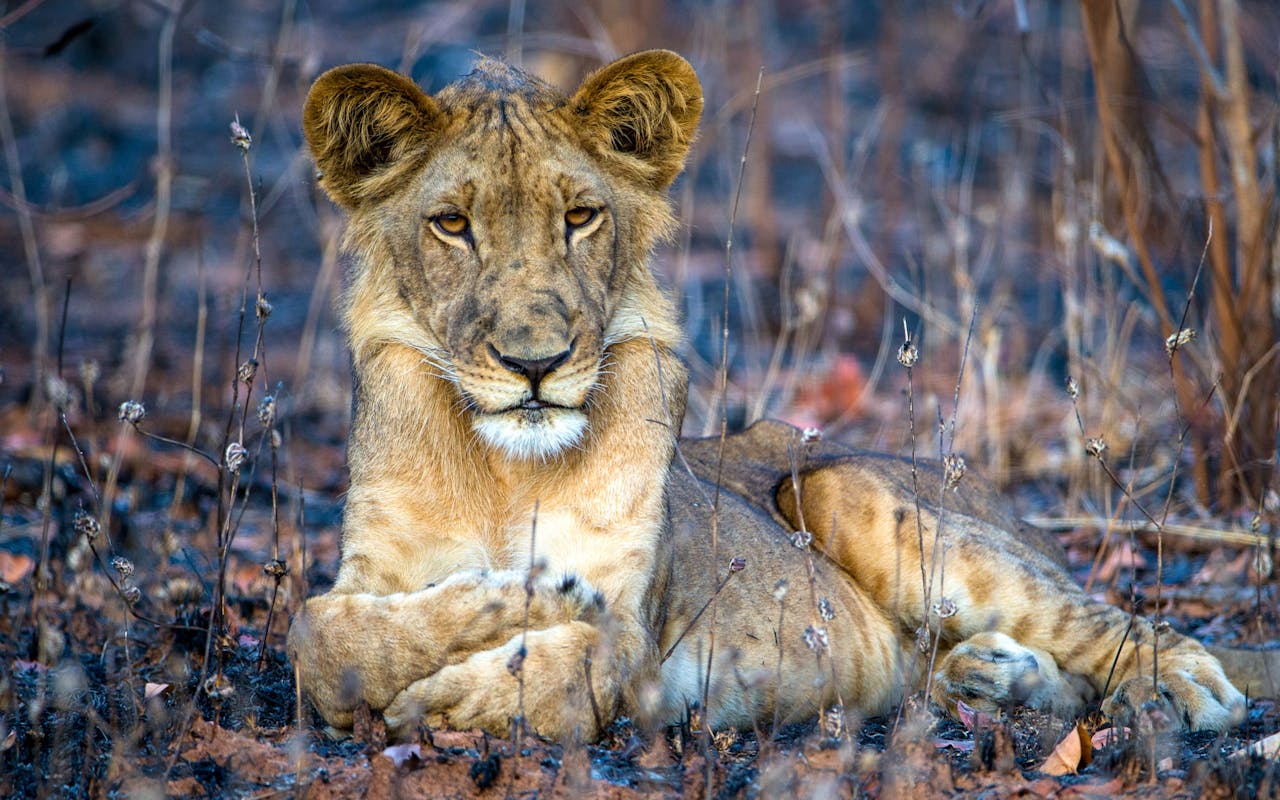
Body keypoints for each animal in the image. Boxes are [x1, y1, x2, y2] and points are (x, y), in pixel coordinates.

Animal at [287, 50, 1277, 742]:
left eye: (580, 216)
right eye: (451, 224)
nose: (538, 363)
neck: (504, 471)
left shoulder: (632, 623)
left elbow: (569, 666)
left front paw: (459, 679)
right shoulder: (369, 576)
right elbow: (320, 635)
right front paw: (491, 612)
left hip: (838, 484)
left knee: (1126, 625)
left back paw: (1181, 688)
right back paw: (992, 677)